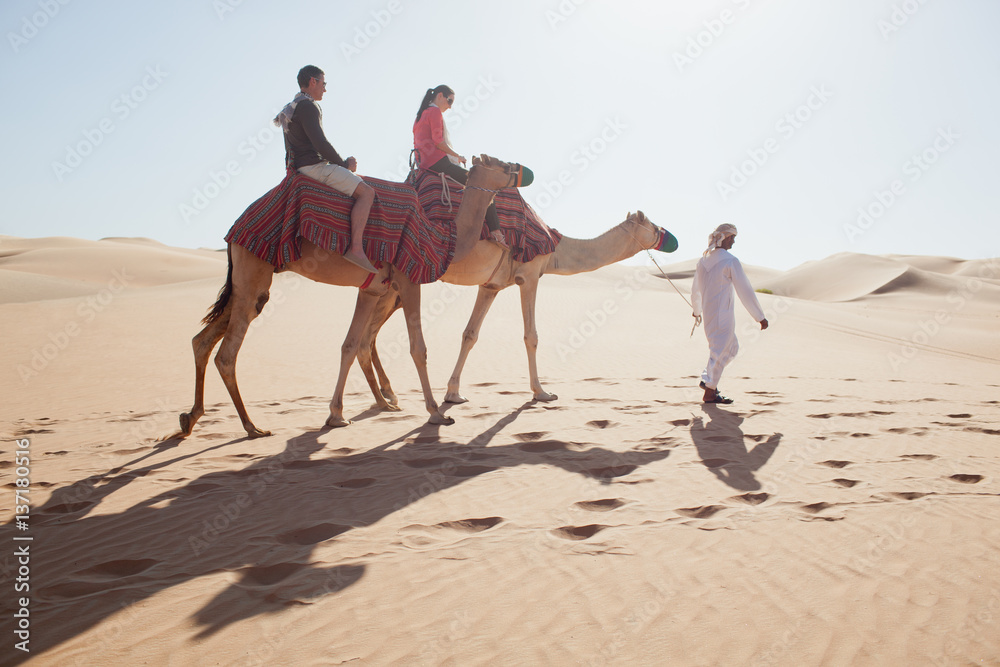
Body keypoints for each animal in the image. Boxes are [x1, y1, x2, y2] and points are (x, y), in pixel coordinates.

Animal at [176, 155, 530, 438]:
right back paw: (252, 427)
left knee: (202, 340)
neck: (440, 241)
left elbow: (349, 345)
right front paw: (435, 413)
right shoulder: (408, 279)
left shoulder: (372, 288)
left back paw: (189, 419)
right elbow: (418, 348)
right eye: (502, 165)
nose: (525, 172)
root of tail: (235, 226)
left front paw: (336, 415)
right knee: (227, 354)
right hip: (254, 268)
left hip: (249, 278)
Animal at [355, 209, 677, 409]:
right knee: (366, 336)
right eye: (651, 224)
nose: (671, 237)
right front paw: (542, 392)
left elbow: (470, 334)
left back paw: (385, 398)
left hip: (389, 285)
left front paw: (453, 394)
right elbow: (531, 336)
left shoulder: (491, 285)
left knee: (366, 336)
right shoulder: (530, 276)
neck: (556, 251)